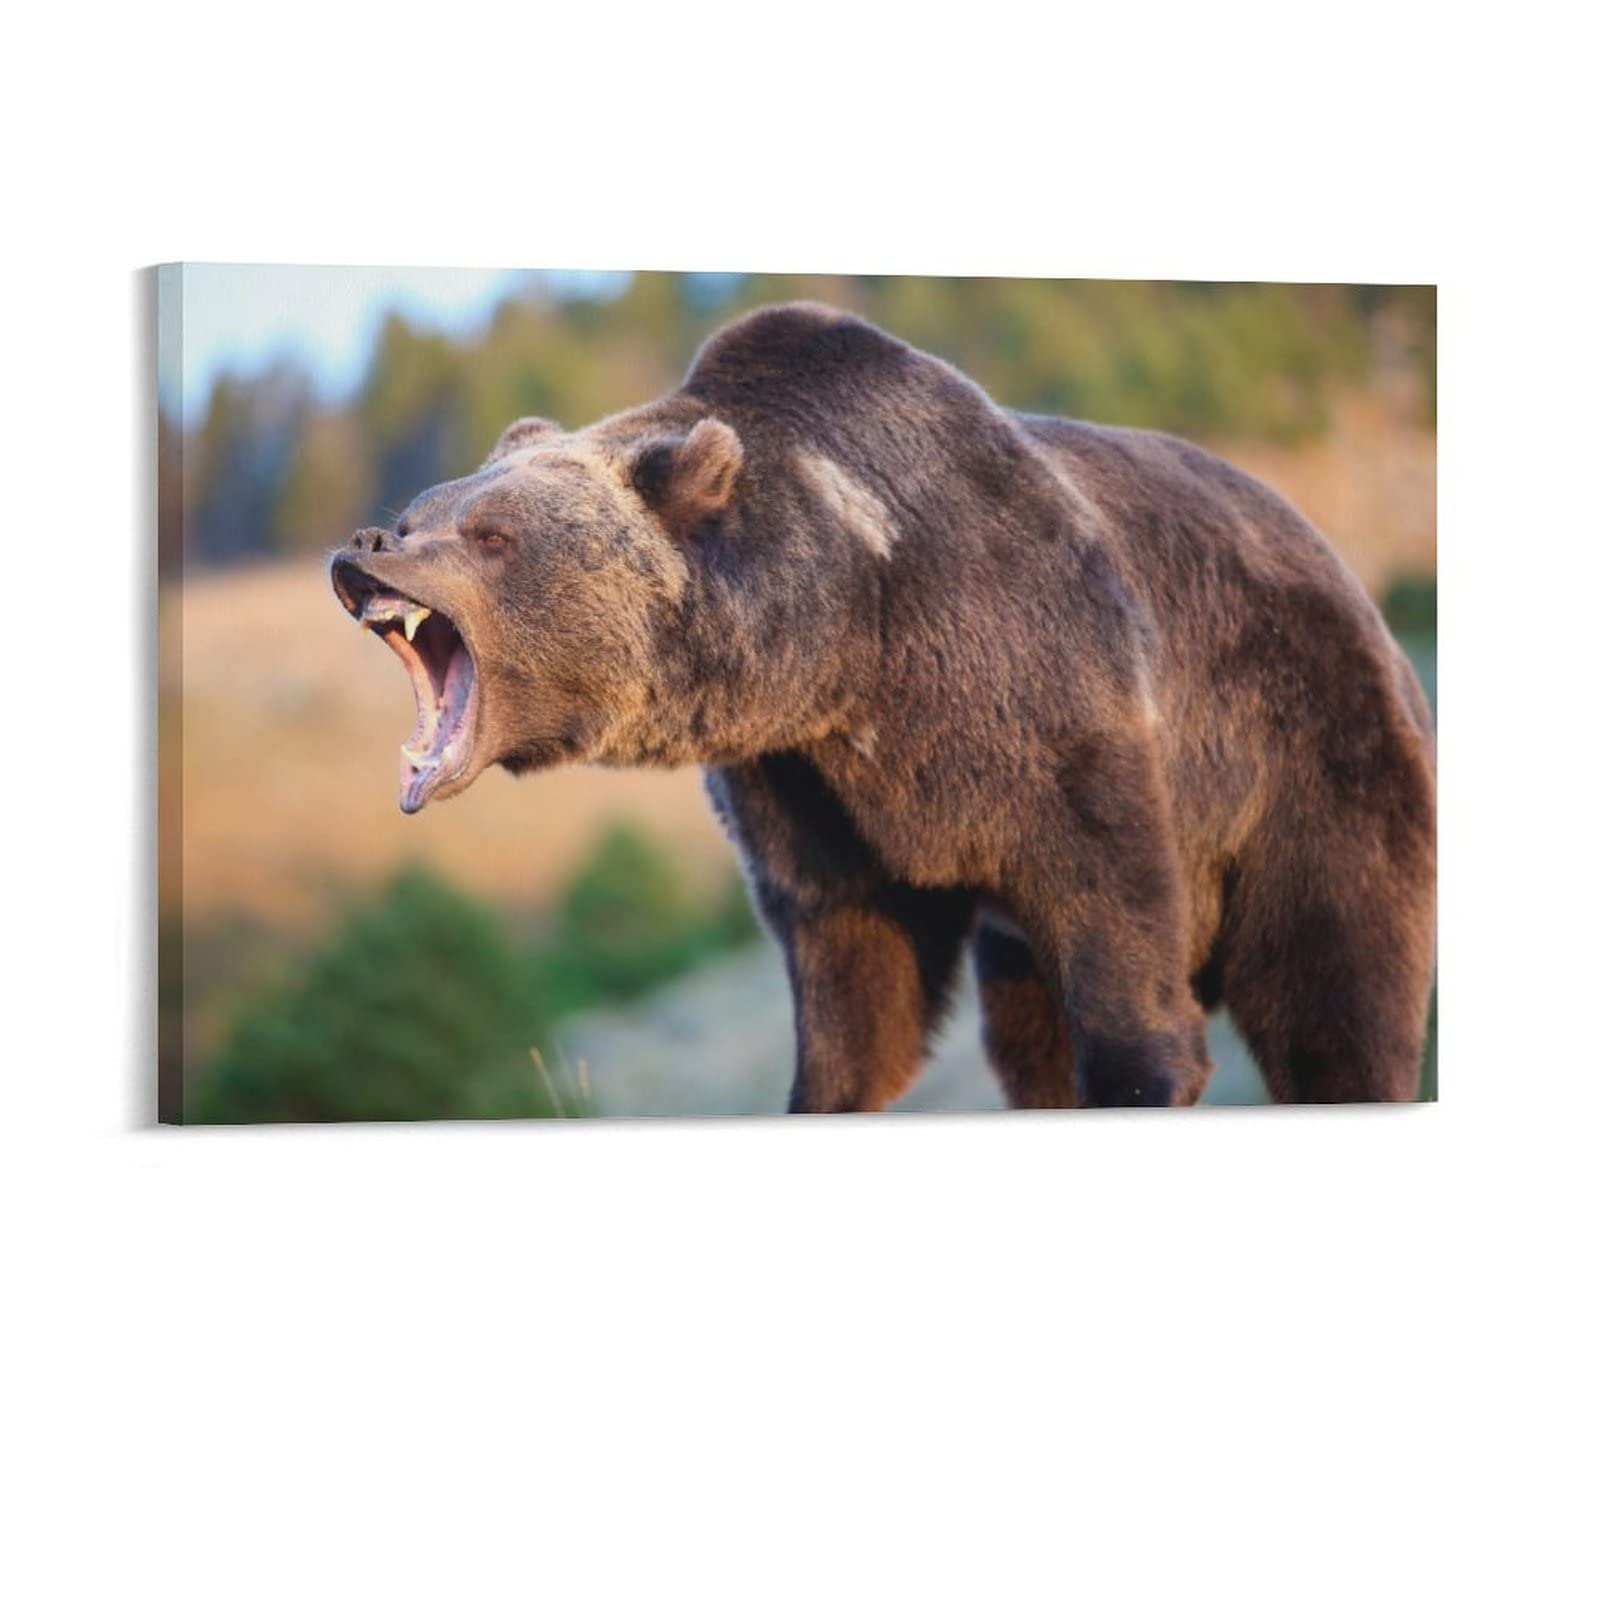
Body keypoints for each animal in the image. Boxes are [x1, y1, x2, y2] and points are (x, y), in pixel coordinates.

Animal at [330, 302, 1436, 1110]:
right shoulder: (809, 794)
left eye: (490, 535)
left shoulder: (1051, 703)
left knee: (1335, 993)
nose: (364, 546)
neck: (848, 640)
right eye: (417, 513)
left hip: (1310, 757)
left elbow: (1116, 927)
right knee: (1026, 1030)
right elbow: (859, 1001)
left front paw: (1143, 1069)